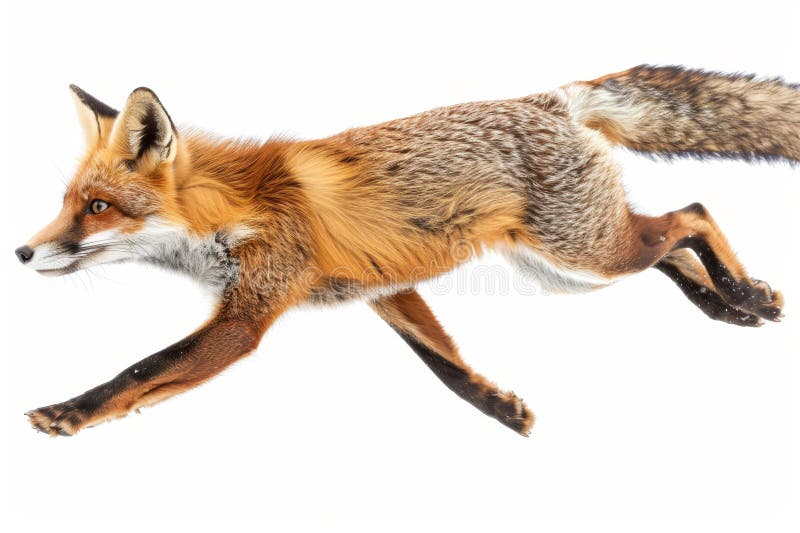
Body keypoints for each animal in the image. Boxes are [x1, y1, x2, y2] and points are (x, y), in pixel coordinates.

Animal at [16, 65, 797, 437]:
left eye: (97, 207)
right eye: (67, 201)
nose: (22, 253)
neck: (232, 209)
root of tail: (549, 99)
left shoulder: (246, 317)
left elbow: (141, 369)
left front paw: (67, 412)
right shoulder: (380, 287)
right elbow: (443, 363)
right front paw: (500, 407)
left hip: (585, 255)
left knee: (692, 215)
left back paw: (745, 294)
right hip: (570, 267)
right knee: (670, 246)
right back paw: (727, 306)